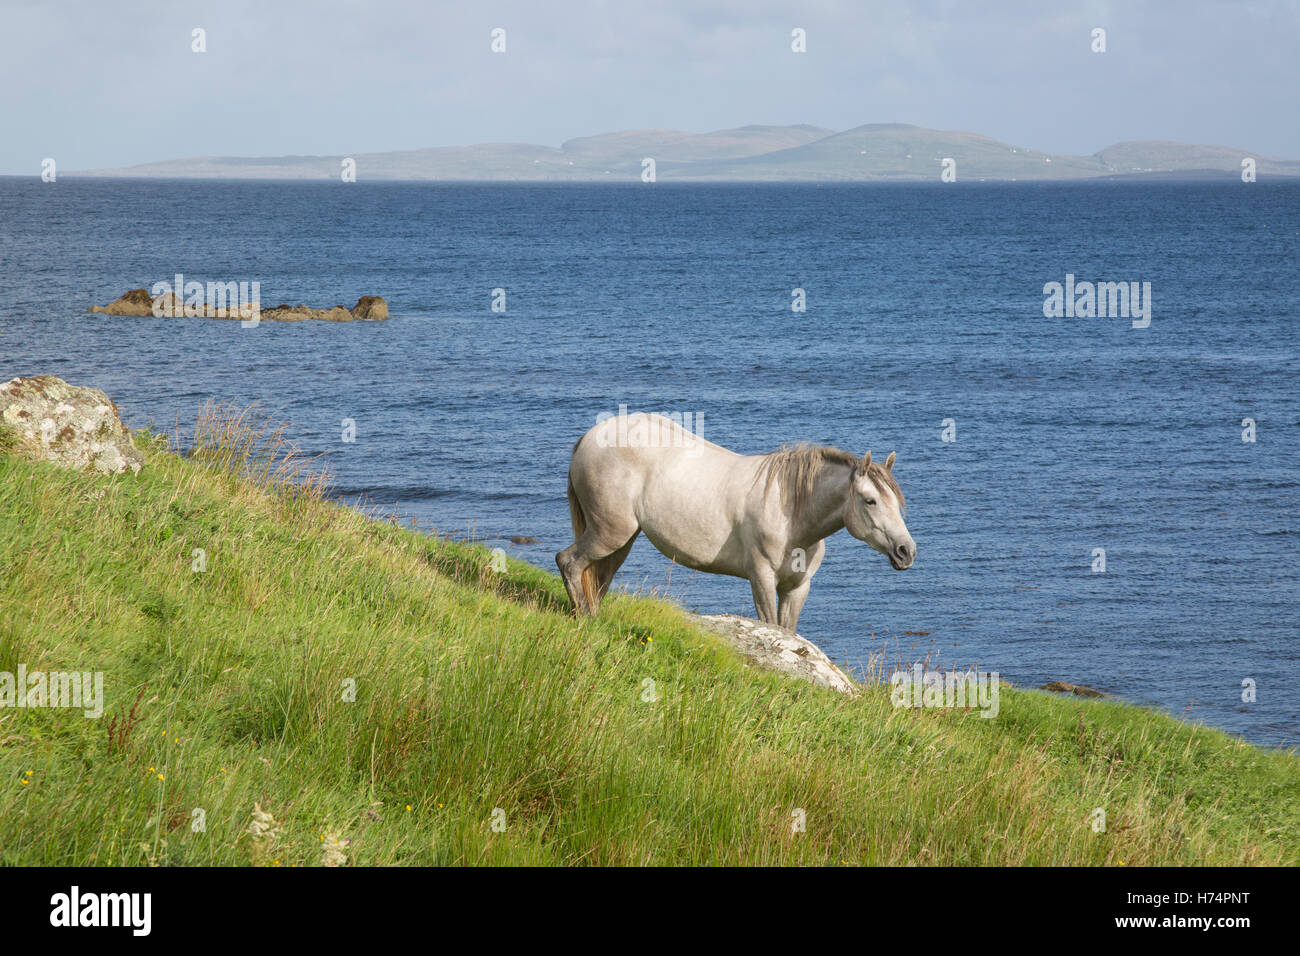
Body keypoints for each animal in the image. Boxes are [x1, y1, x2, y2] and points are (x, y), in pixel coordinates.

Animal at [556, 413, 915, 631]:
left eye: (898, 503)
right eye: (870, 500)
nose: (905, 551)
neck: (790, 511)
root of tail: (590, 437)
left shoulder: (797, 588)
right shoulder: (761, 578)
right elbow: (772, 627)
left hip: (622, 539)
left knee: (596, 578)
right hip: (610, 532)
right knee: (568, 562)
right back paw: (584, 619)